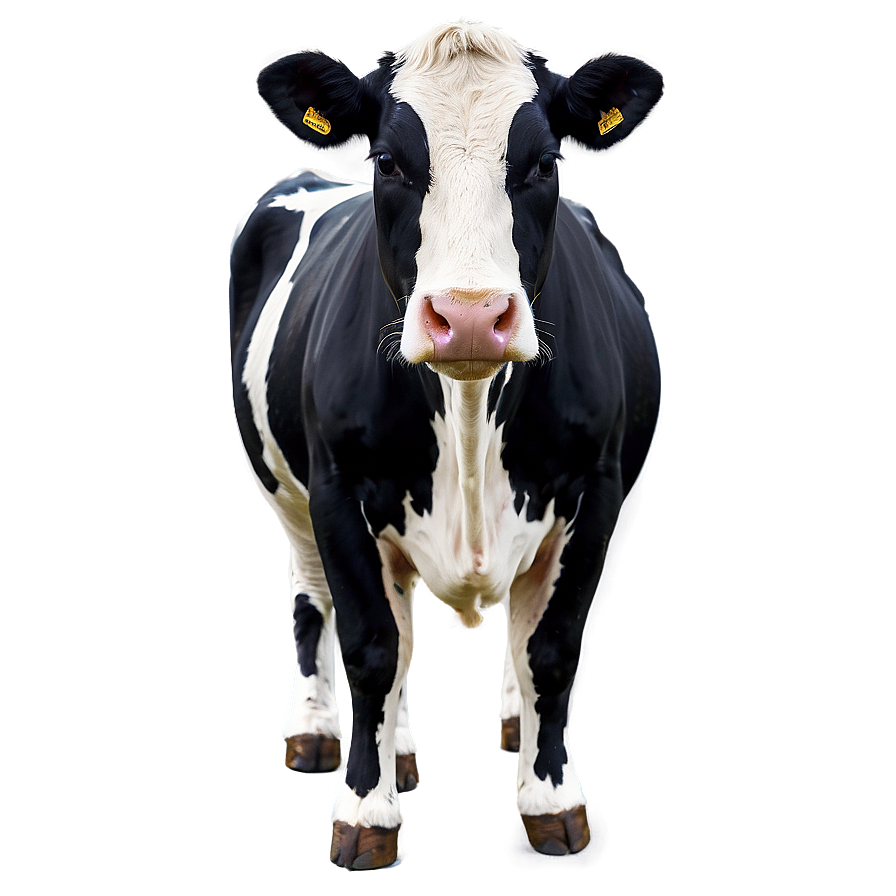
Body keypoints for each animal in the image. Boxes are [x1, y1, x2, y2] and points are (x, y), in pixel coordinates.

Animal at [230, 21, 663, 870]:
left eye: (544, 162)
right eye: (387, 161)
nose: (468, 315)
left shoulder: (598, 490)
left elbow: (551, 646)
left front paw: (552, 800)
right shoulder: (337, 489)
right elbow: (371, 646)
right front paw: (367, 813)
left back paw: (502, 723)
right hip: (285, 490)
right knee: (319, 604)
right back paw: (326, 736)